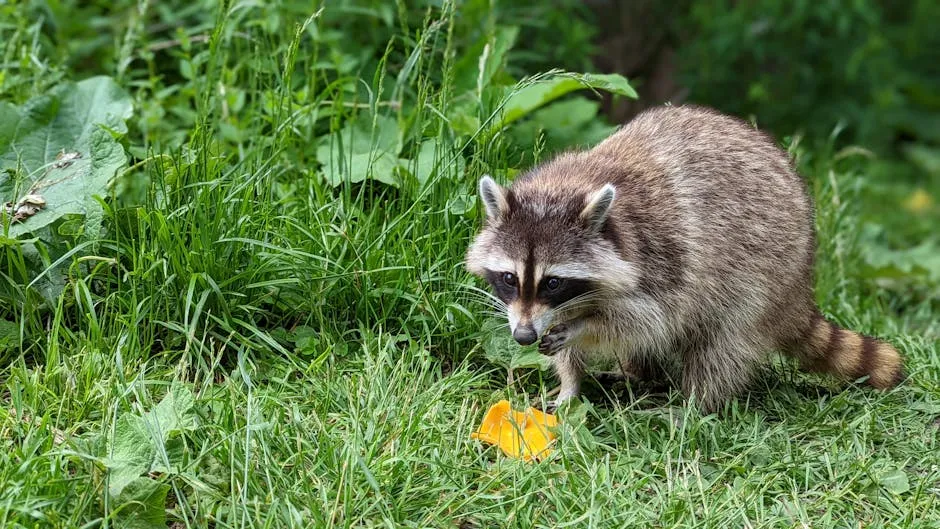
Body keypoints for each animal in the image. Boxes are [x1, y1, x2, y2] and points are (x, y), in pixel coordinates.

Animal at [466, 102, 900, 408]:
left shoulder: (667, 252)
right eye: (509, 278)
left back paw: (693, 404)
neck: (565, 186)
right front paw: (570, 385)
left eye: (553, 282)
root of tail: (801, 285)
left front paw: (583, 328)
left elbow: (649, 320)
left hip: (765, 272)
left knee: (724, 340)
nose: (523, 336)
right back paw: (641, 375)